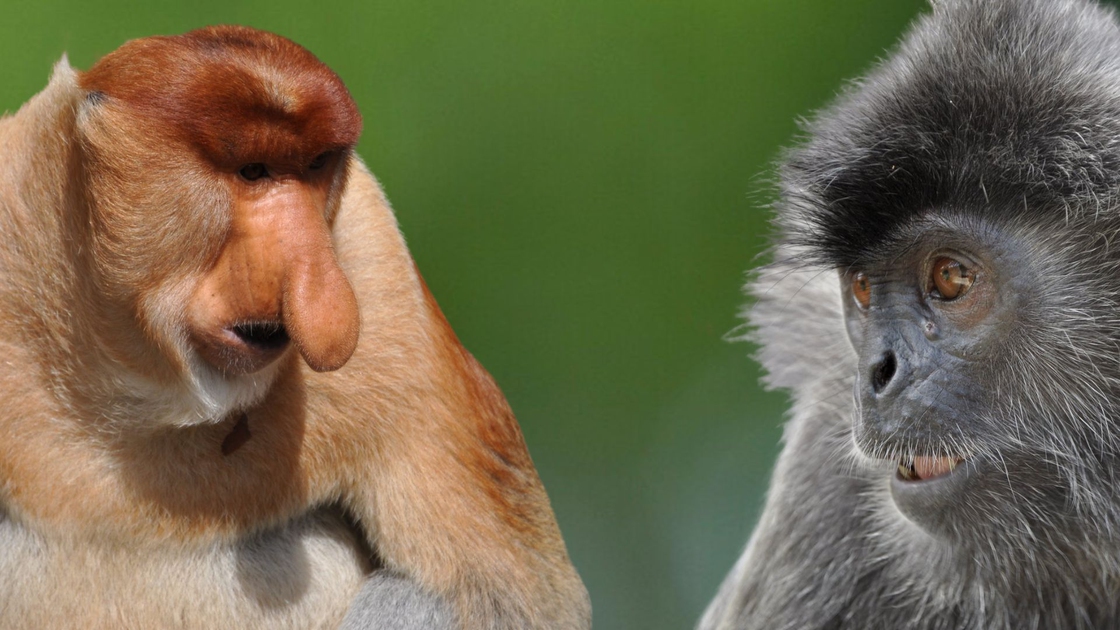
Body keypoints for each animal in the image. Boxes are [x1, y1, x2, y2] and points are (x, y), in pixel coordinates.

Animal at [0, 26, 590, 629]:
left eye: (314, 167)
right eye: (253, 171)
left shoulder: (381, 279)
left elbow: (503, 595)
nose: (317, 288)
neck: (140, 390)